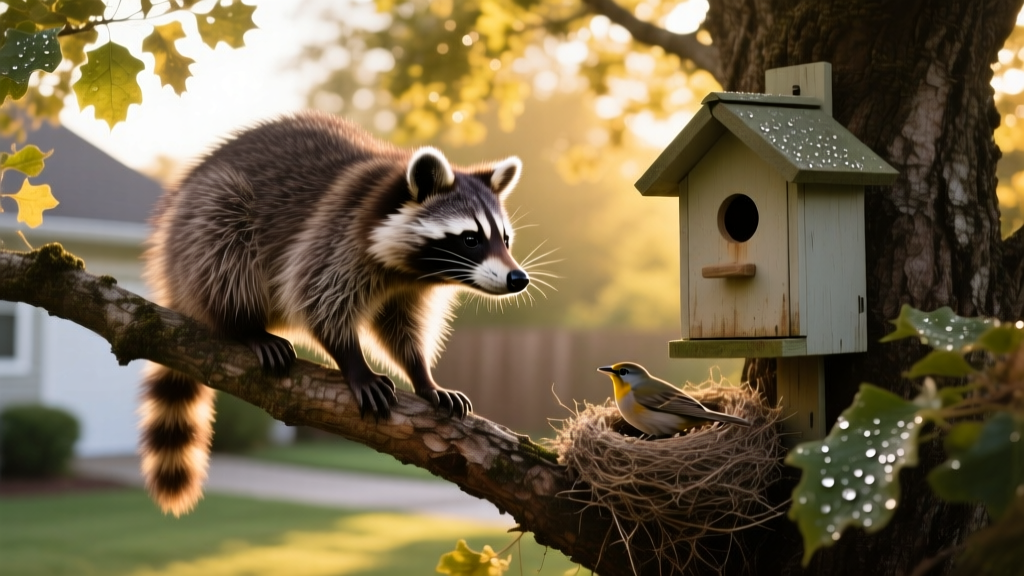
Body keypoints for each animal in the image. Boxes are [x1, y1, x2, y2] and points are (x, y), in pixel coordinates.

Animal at [140, 111, 530, 515]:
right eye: (471, 238)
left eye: (504, 239)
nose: (519, 279)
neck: (407, 270)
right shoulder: (337, 232)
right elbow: (315, 297)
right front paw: (354, 363)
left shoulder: (406, 289)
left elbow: (401, 328)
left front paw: (422, 374)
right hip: (204, 221)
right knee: (225, 244)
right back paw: (244, 326)